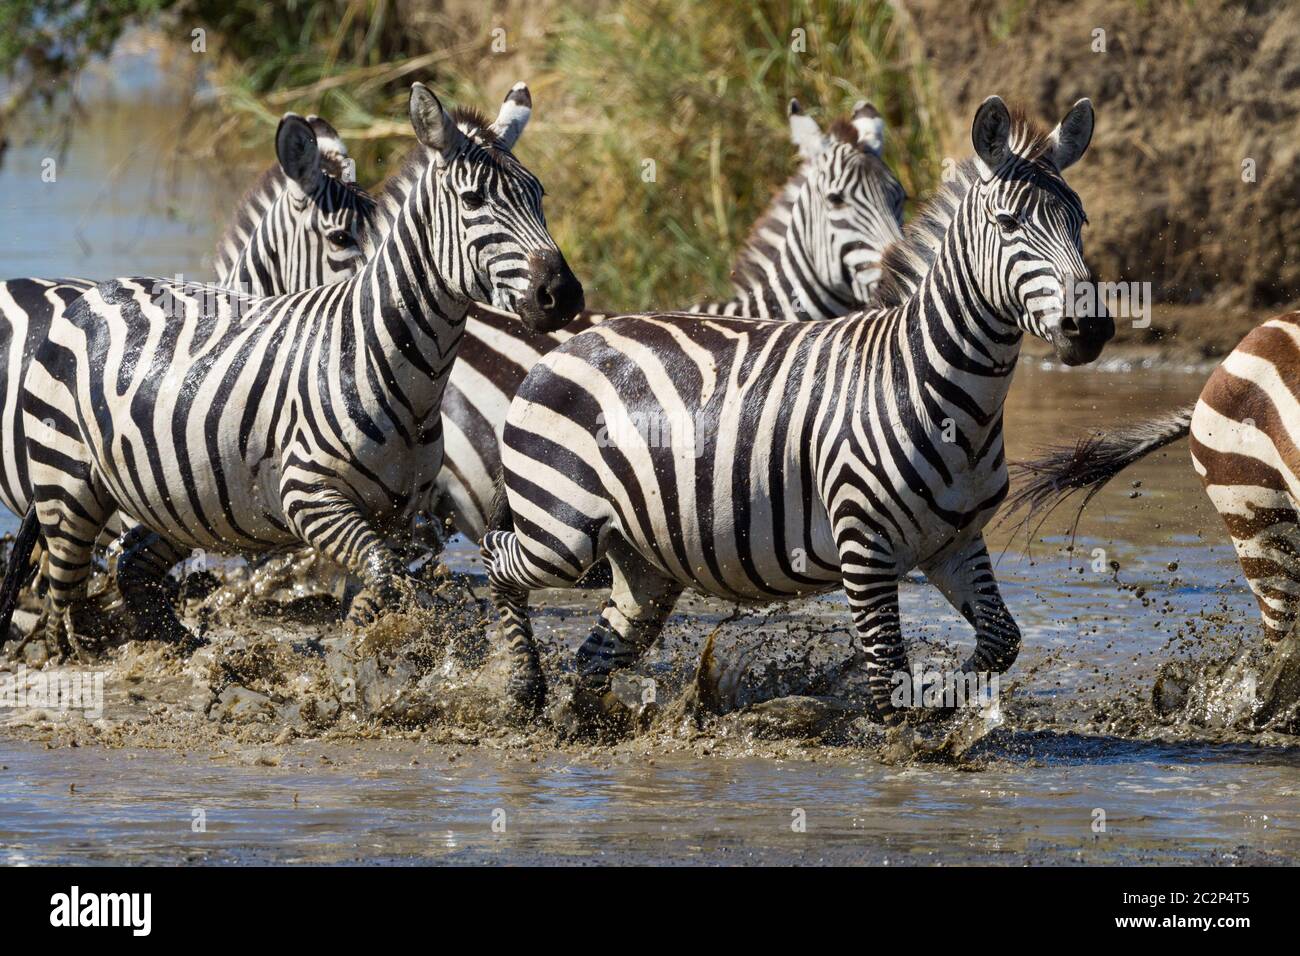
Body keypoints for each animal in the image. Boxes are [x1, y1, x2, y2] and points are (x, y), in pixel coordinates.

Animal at [0, 82, 583, 657]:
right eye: (473, 200)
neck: (394, 365)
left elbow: (378, 582)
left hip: (173, 501)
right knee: (66, 606)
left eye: (539, 196)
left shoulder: (397, 516)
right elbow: (381, 573)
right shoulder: (308, 496)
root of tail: (96, 291)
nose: (564, 296)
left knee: (128, 567)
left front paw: (361, 643)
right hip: (67, 490)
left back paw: (179, 646)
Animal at [479, 96, 1113, 727]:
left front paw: (940, 706)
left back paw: (585, 718)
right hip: (561, 528)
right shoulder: (864, 545)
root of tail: (565, 345)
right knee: (495, 559)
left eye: (1080, 222)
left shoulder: (954, 542)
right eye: (1008, 224)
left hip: (643, 559)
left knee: (597, 653)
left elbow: (1000, 641)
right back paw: (522, 690)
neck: (939, 393)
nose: (1089, 327)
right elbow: (888, 682)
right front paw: (910, 735)